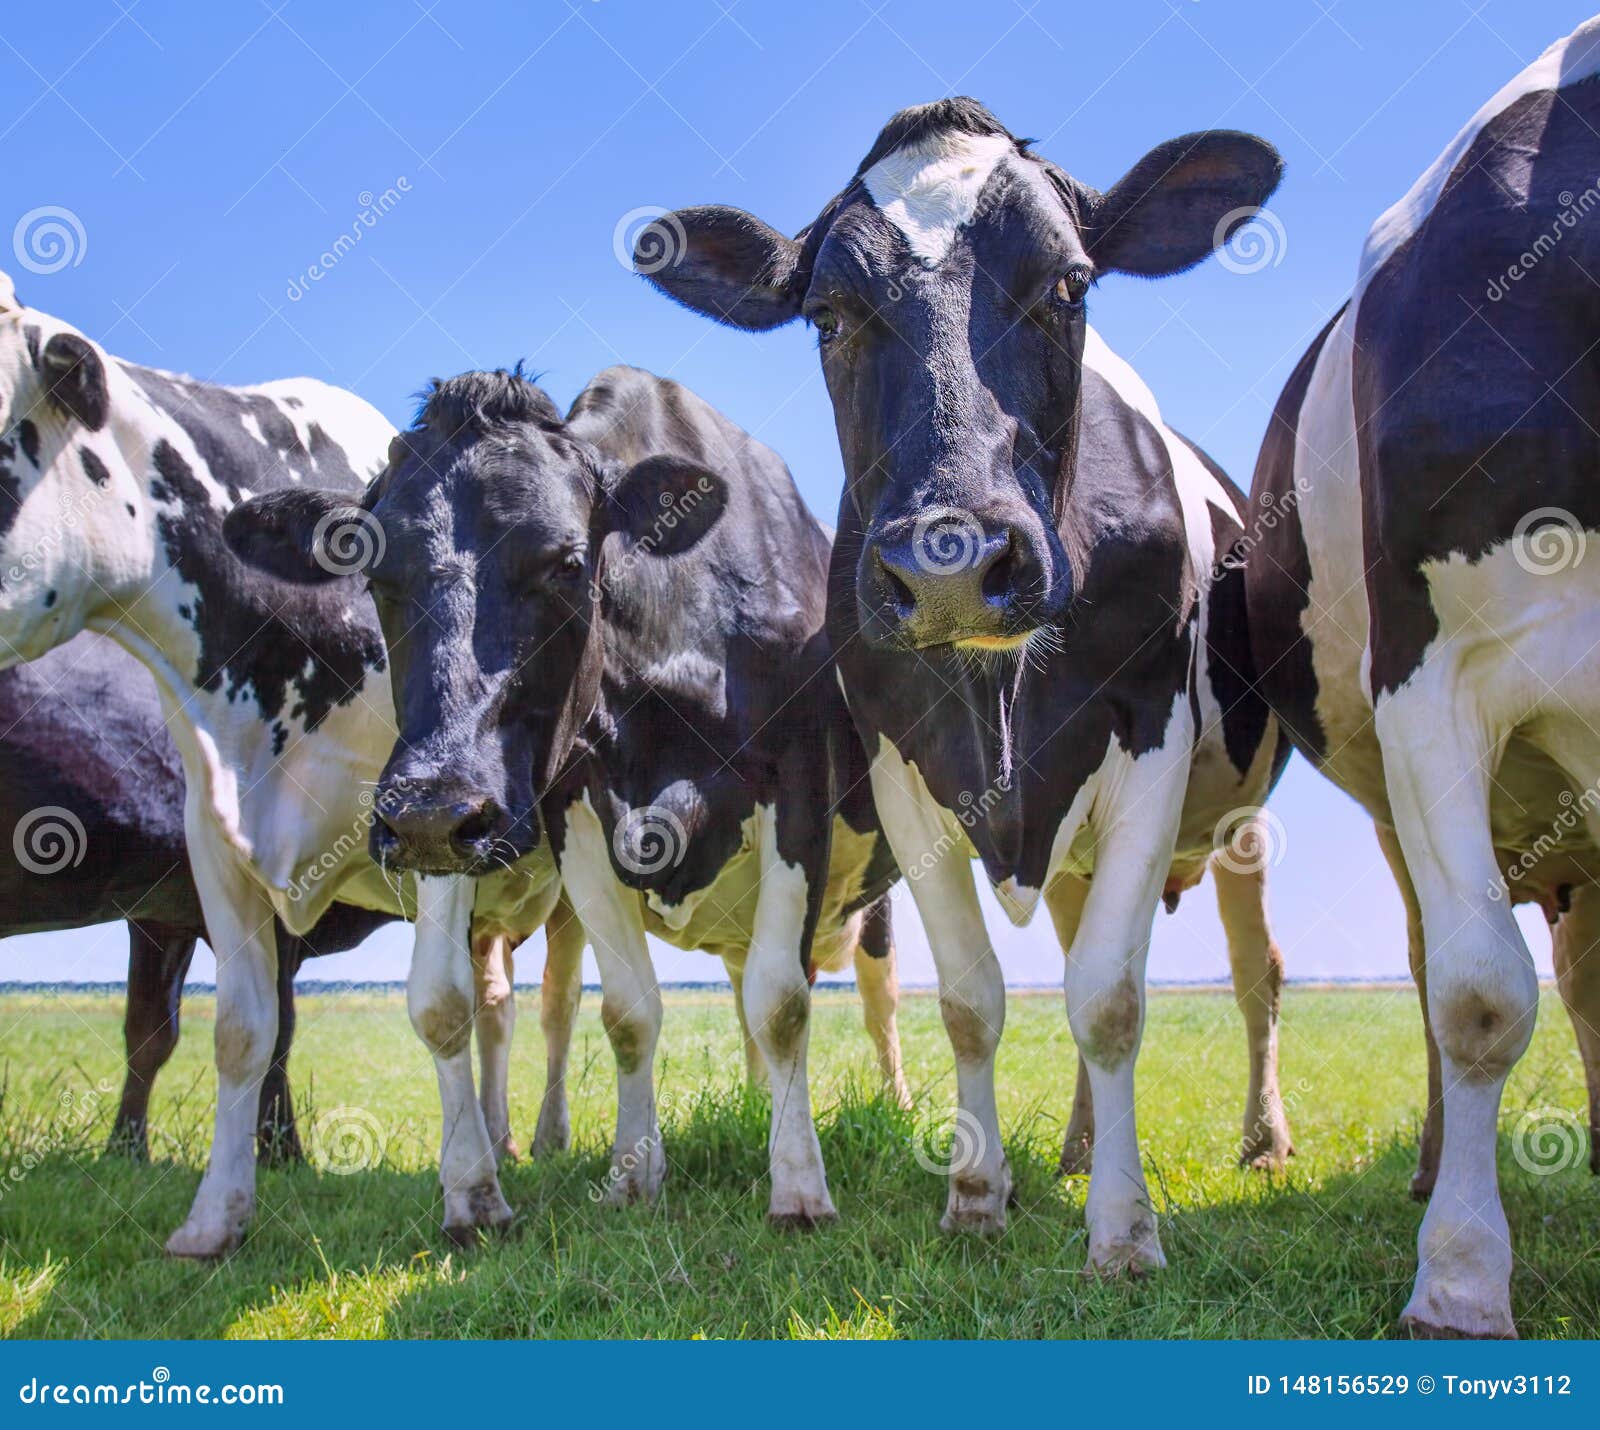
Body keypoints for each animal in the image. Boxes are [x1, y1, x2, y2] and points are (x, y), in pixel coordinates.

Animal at [225, 364, 907, 1222]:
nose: (431, 815)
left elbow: (781, 1003)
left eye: (567, 563)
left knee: (878, 1000)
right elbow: (630, 1012)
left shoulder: (799, 781)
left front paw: (799, 1188)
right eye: (375, 576)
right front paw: (632, 1175)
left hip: (876, 902)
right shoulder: (576, 810)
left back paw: (900, 1106)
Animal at [638, 99, 1290, 1269]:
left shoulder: (1155, 735)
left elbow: (1111, 1000)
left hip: (1240, 818)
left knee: (1254, 971)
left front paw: (1124, 1230)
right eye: (827, 314)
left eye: (1070, 283)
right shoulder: (902, 766)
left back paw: (1261, 1143)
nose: (948, 562)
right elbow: (973, 1000)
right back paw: (1077, 1146)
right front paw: (978, 1193)